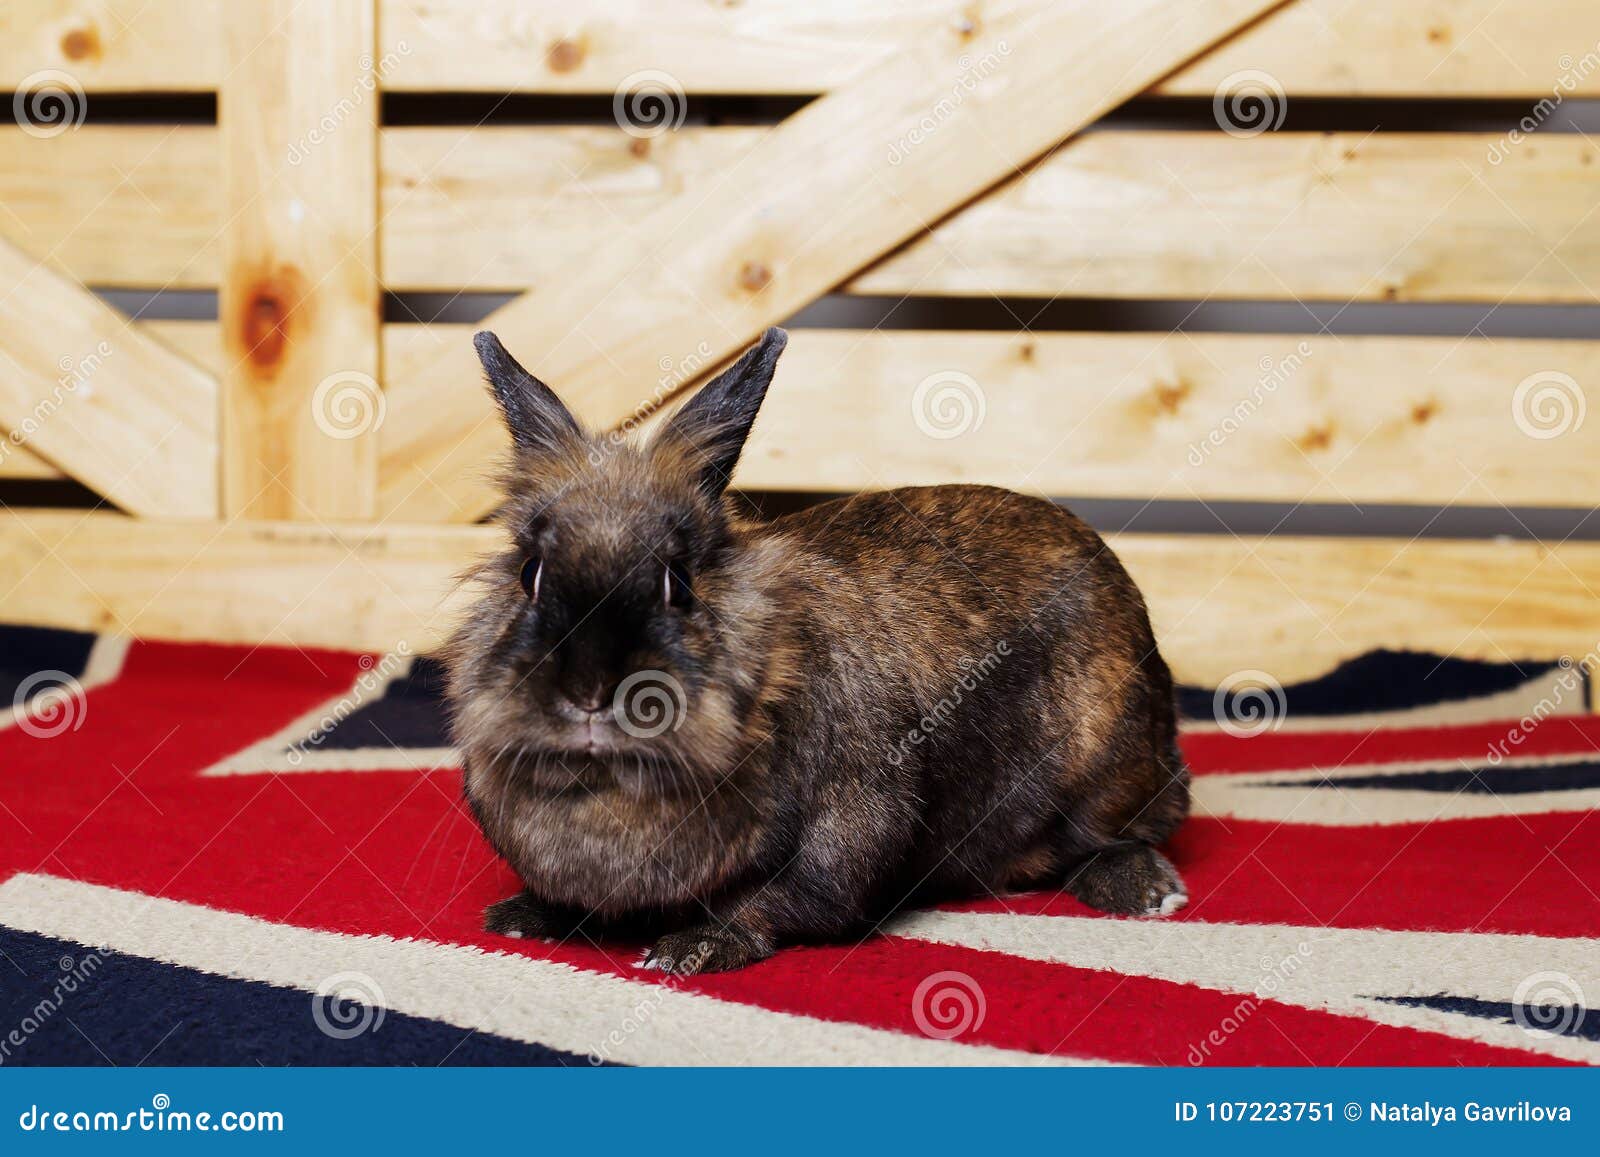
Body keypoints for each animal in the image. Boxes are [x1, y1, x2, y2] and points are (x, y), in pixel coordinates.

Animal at [445, 326, 1190, 974]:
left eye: (678, 581)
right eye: (530, 573)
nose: (590, 690)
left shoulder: (850, 833)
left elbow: (779, 901)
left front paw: (692, 947)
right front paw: (523, 916)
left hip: (1114, 760)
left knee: (1127, 830)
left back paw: (1143, 889)